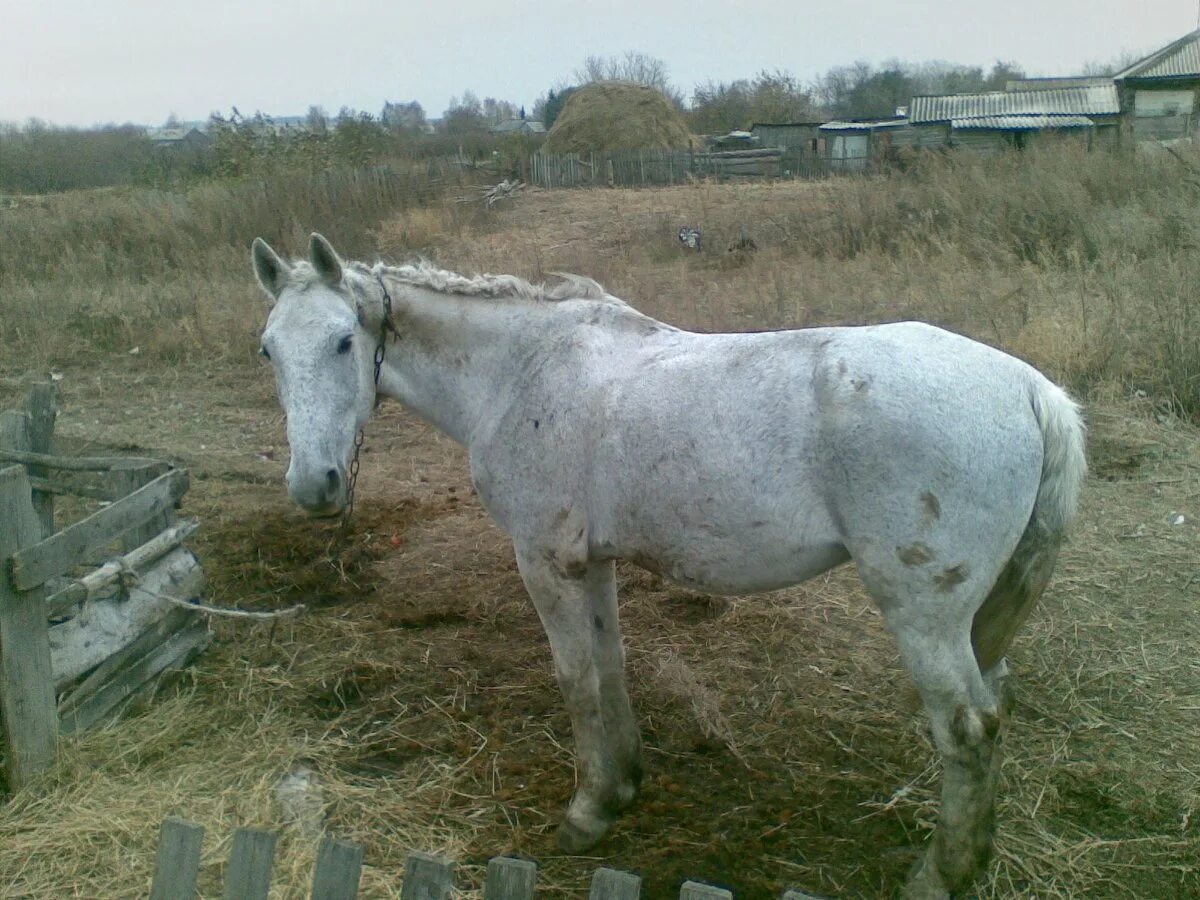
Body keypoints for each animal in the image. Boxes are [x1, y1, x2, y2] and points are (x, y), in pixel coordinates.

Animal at [251, 233, 1085, 898]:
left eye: (343, 342)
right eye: (268, 349)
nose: (315, 486)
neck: (520, 371)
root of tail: (1030, 389)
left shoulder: (544, 561)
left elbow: (575, 677)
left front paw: (586, 813)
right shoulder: (592, 564)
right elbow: (608, 667)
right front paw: (622, 785)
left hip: (924, 616)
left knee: (969, 730)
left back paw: (937, 877)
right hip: (973, 619)